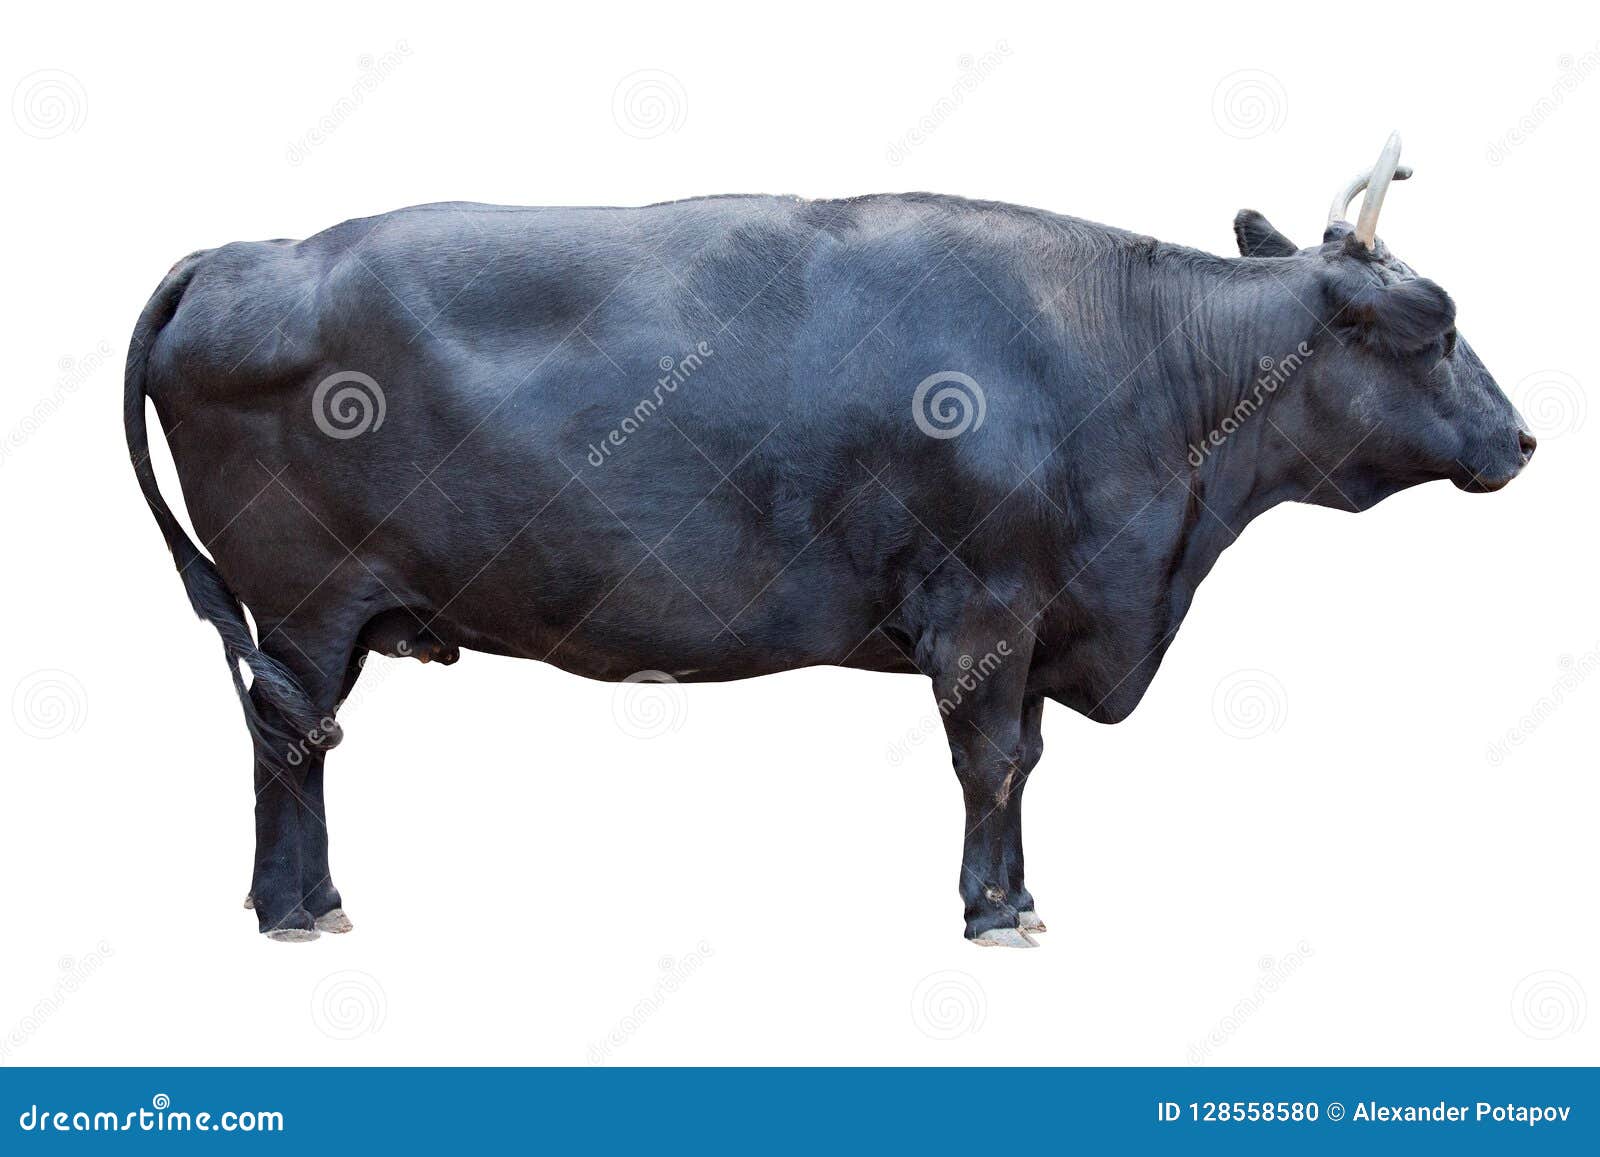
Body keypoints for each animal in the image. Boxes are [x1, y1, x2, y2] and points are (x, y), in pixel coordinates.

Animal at [125, 133, 1532, 945]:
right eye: (1436, 323)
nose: (1523, 440)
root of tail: (245, 251)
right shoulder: (986, 606)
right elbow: (994, 762)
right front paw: (996, 910)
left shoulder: (1033, 613)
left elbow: (1020, 760)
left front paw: (1014, 894)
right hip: (303, 604)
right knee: (289, 741)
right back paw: (298, 909)